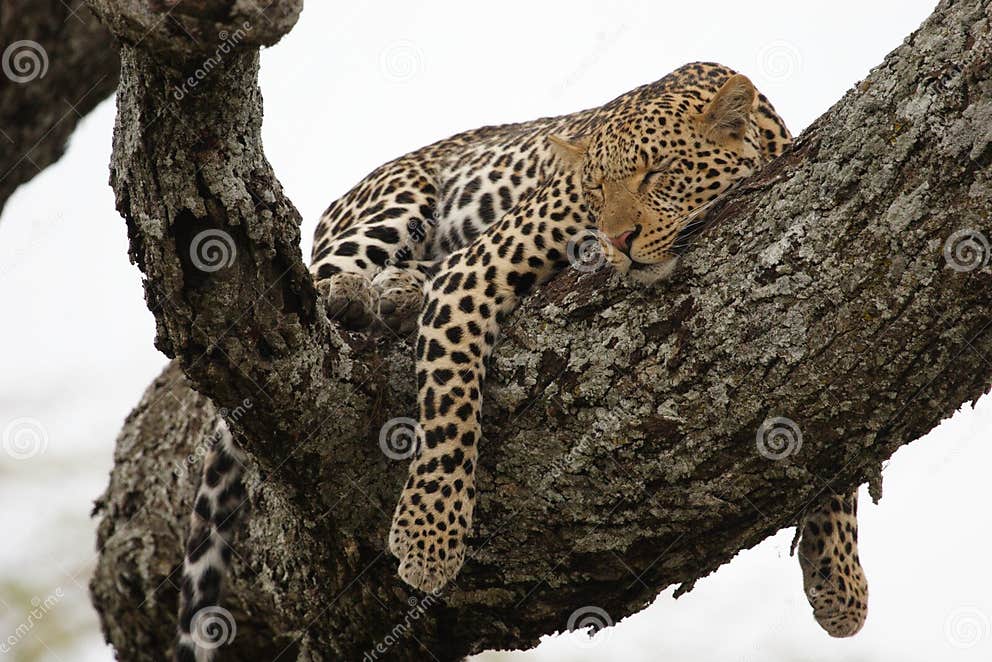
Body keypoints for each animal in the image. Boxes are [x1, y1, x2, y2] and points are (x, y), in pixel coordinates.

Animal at [174, 62, 867, 661]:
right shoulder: (473, 270)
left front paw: (840, 581)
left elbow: (837, 412)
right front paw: (429, 538)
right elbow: (450, 404)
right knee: (310, 283)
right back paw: (354, 292)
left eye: (659, 173)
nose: (618, 240)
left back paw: (396, 292)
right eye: (595, 188)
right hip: (390, 207)